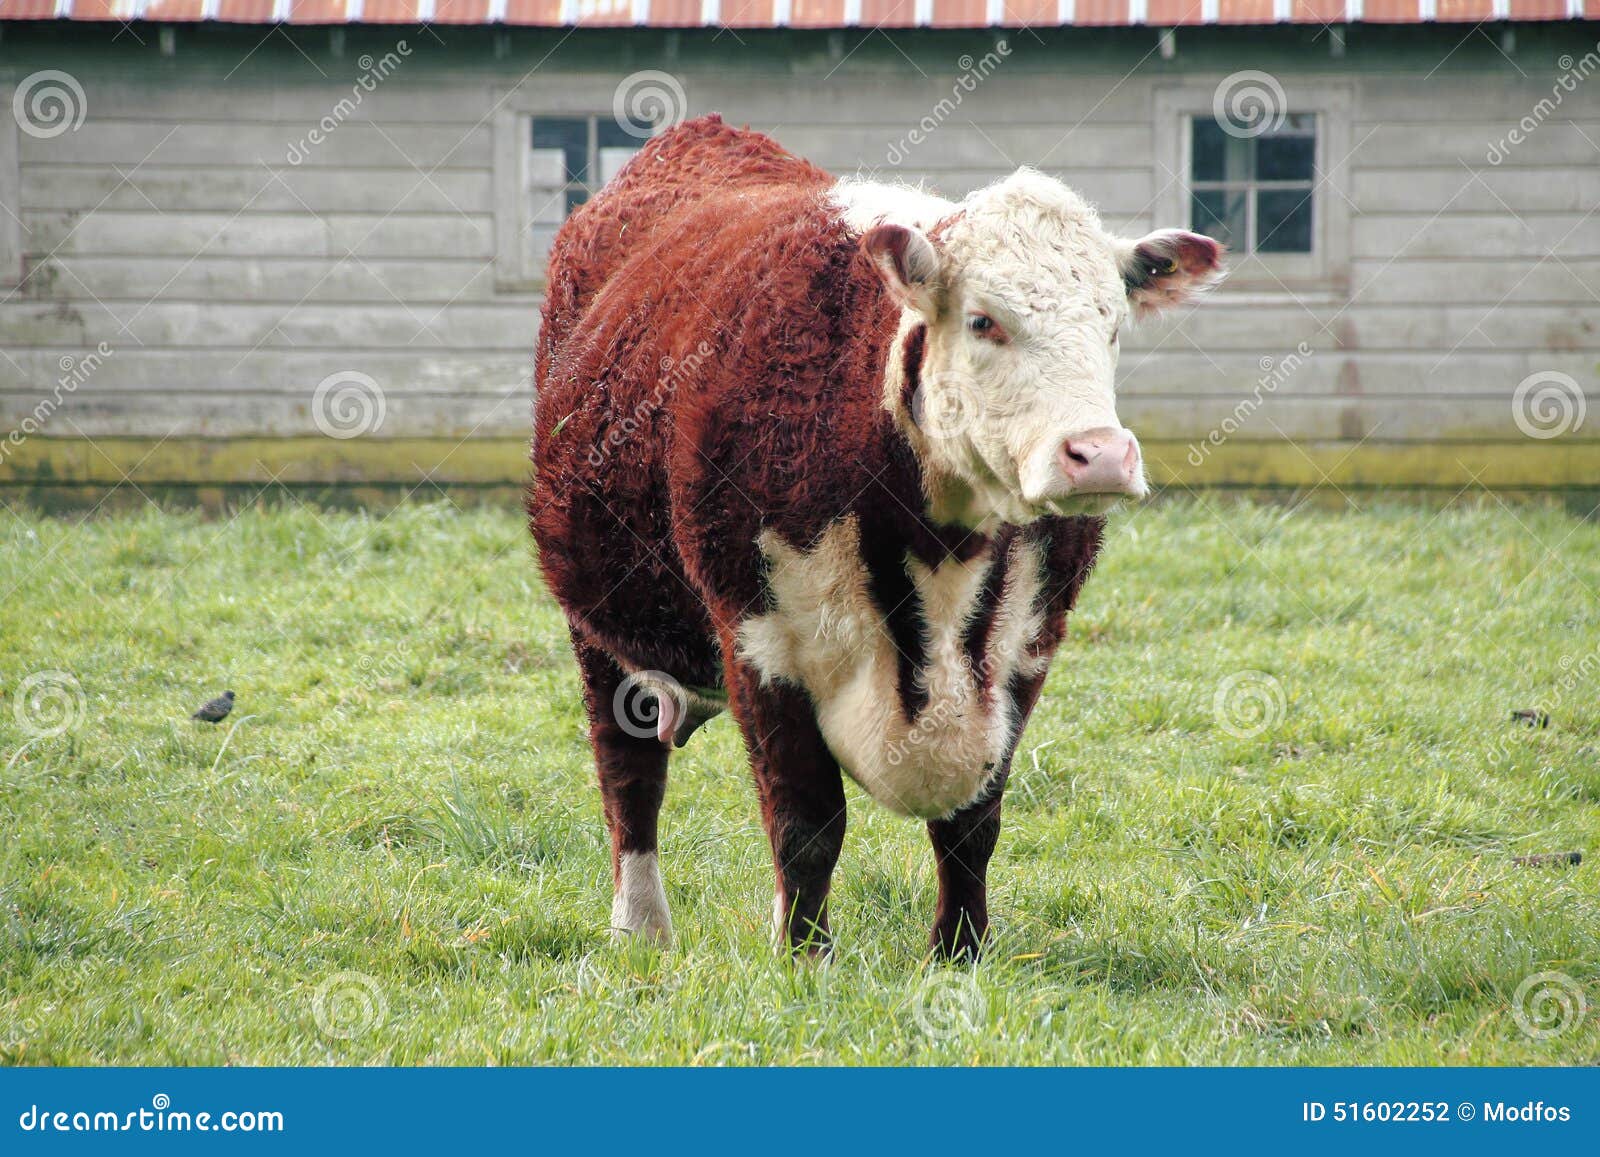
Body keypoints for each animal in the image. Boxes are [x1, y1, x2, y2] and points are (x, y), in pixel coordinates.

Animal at [529, 115, 1222, 960]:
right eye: (983, 319)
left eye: (1113, 325)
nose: (1100, 454)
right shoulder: (759, 638)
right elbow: (805, 823)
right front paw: (804, 957)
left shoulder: (1026, 648)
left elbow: (972, 826)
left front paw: (958, 955)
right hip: (595, 621)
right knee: (628, 771)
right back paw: (641, 925)